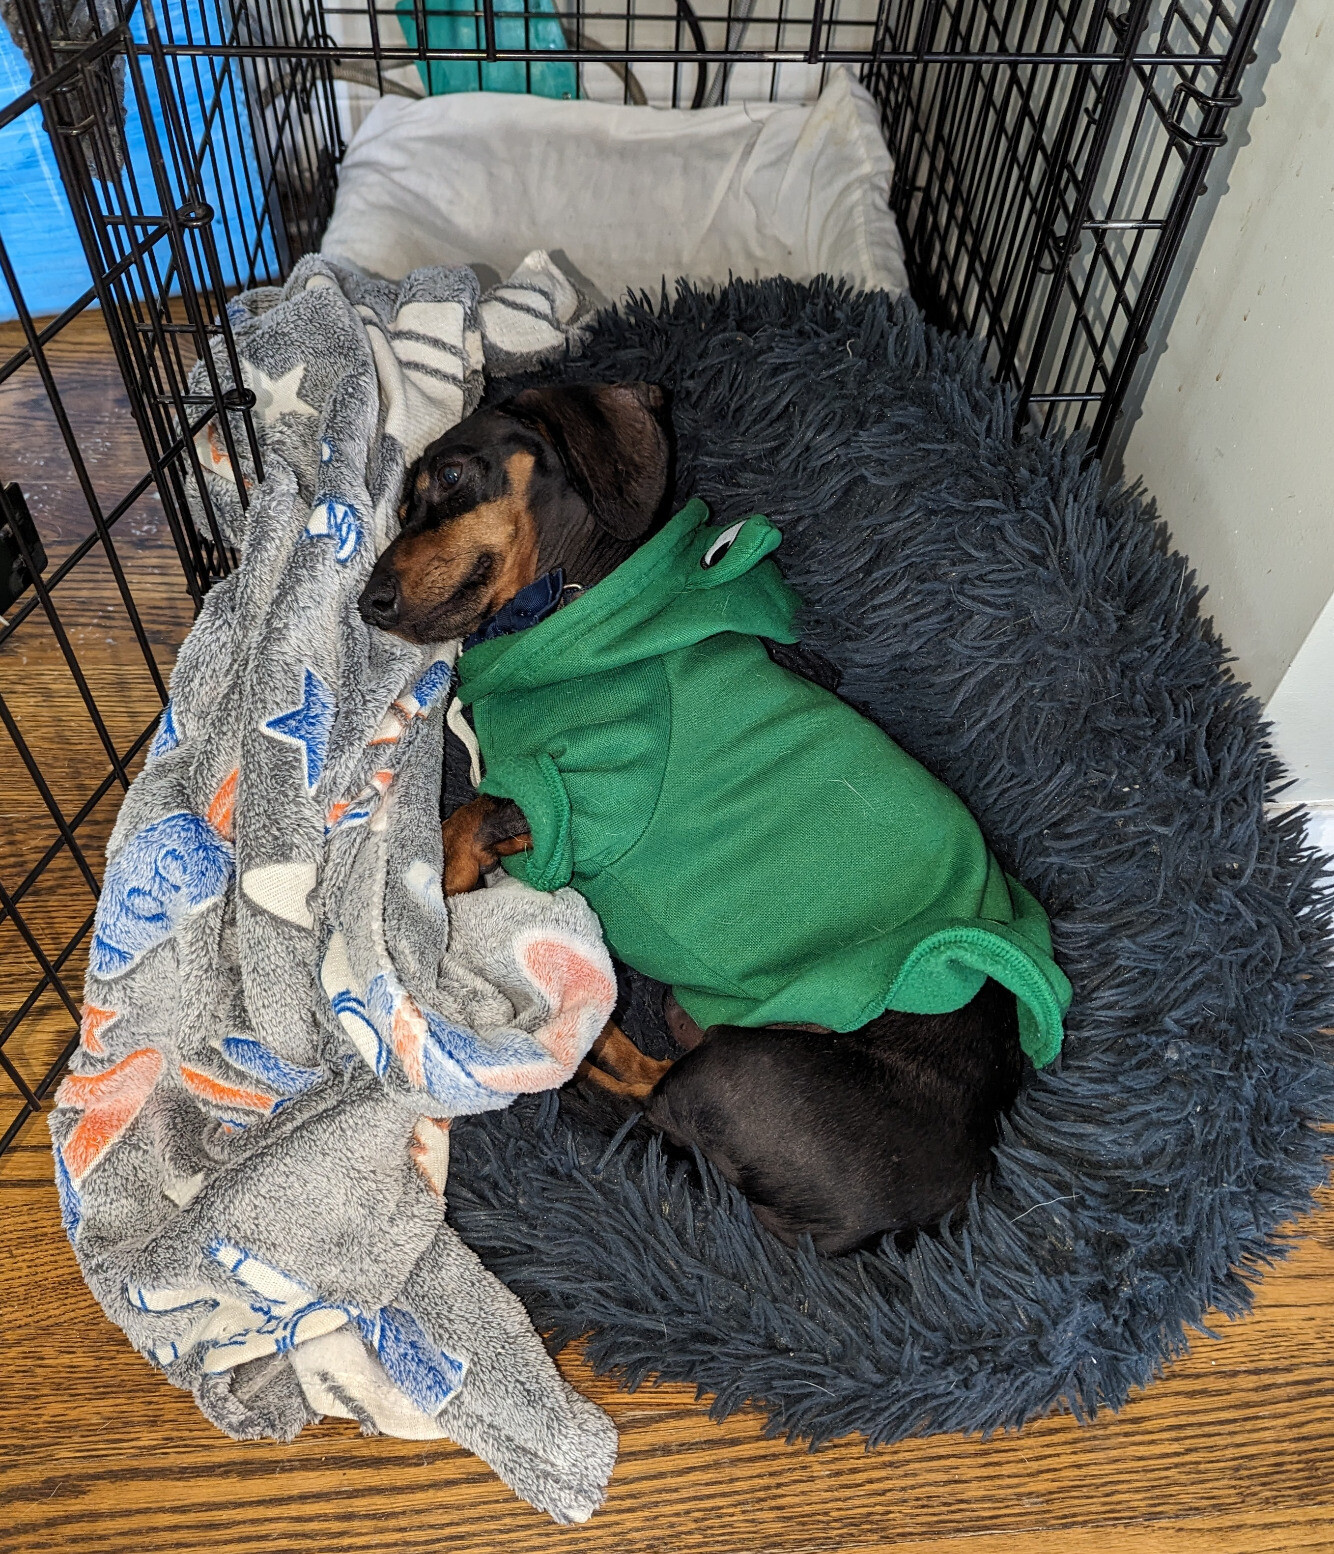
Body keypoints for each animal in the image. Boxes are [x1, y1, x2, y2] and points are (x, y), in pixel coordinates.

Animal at [359, 382, 1026, 1255]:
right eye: (401, 504)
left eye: (453, 475)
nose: (368, 603)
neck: (569, 606)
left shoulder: (591, 800)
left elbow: (467, 817)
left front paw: (441, 890)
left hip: (745, 1067)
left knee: (650, 1095)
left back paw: (580, 1048)